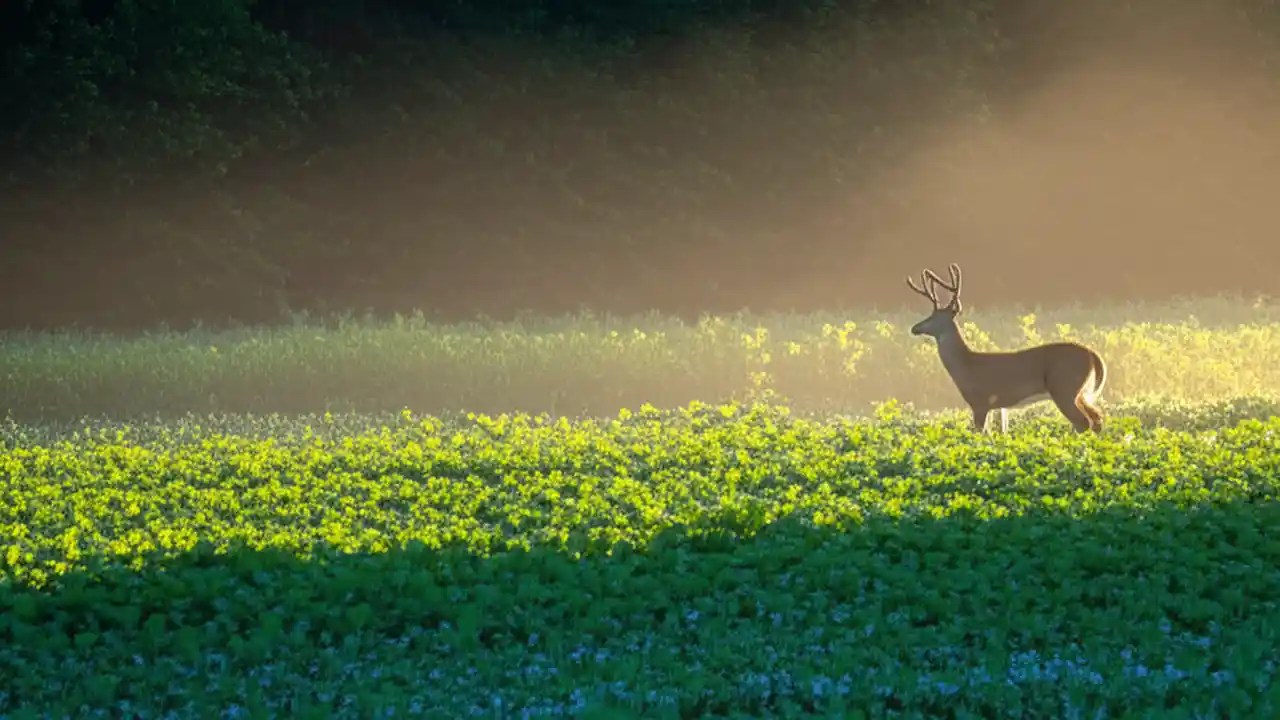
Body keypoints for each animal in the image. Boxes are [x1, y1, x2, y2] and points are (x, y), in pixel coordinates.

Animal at [906, 263, 1107, 433]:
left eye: (932, 317)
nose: (915, 328)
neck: (966, 365)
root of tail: (1093, 355)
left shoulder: (980, 401)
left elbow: (980, 433)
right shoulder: (996, 406)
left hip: (1064, 387)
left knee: (1084, 421)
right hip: (1080, 392)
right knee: (1097, 417)